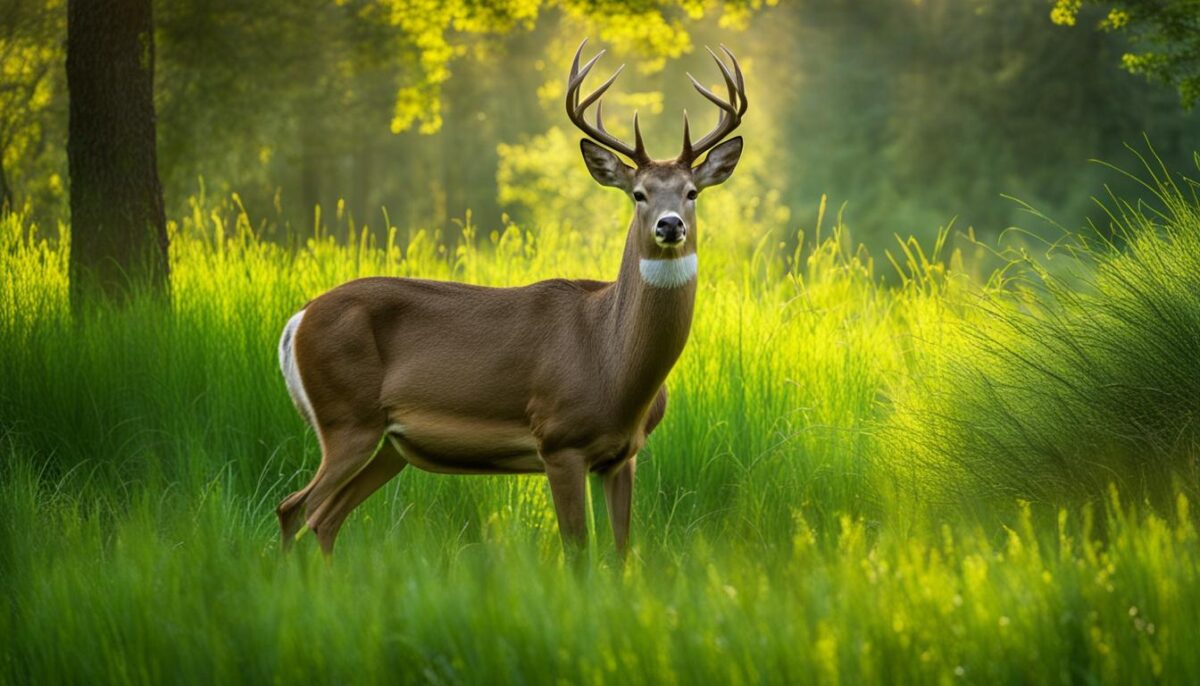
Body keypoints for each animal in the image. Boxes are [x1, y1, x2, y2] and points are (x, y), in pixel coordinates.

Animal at [275, 39, 747, 559]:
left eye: (692, 192)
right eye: (638, 193)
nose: (670, 225)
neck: (612, 363)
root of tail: (297, 320)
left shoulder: (623, 455)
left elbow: (623, 552)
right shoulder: (559, 440)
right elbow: (577, 551)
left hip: (389, 445)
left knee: (325, 518)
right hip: (347, 419)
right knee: (294, 508)